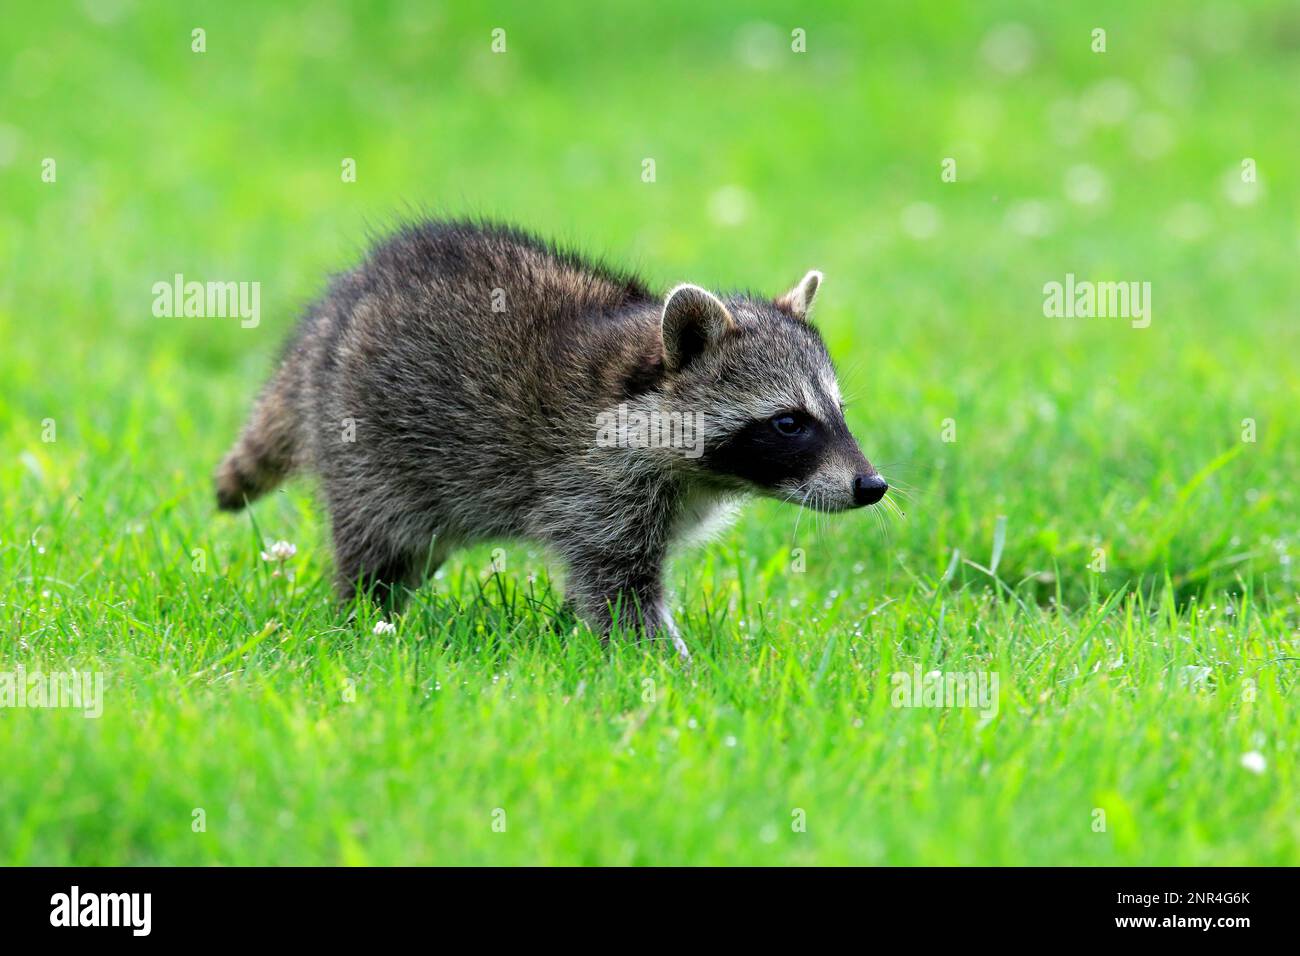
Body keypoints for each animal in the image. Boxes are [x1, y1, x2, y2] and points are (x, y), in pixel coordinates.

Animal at [215, 219, 888, 656]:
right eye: (789, 422)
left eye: (838, 412)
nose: (872, 485)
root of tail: (327, 321)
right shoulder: (594, 485)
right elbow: (619, 589)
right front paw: (668, 668)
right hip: (365, 441)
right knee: (379, 543)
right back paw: (365, 618)